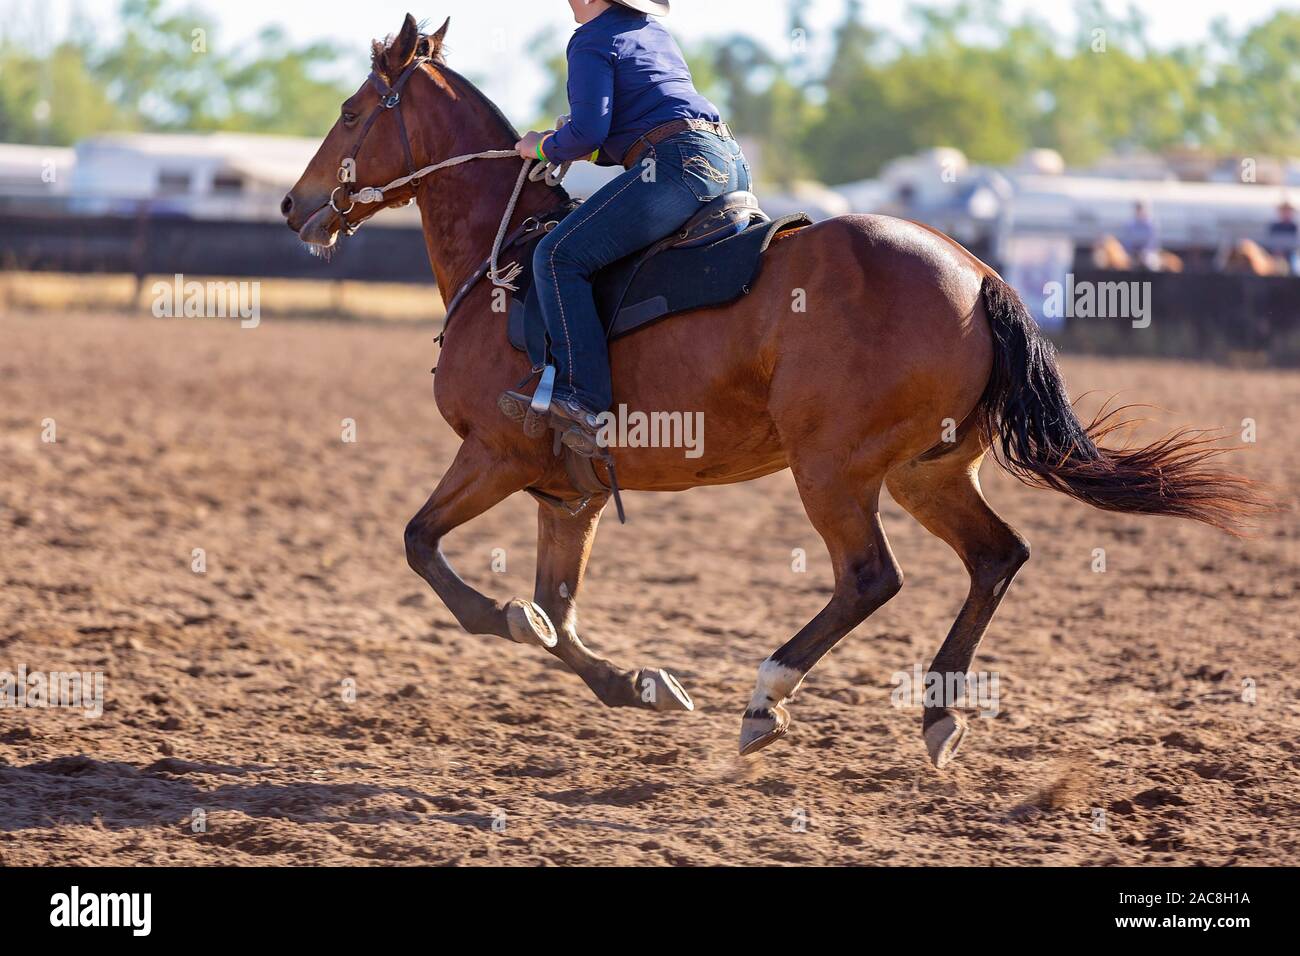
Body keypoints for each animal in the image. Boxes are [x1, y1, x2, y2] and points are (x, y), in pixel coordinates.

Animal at [282, 15, 1266, 768]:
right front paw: (637, 685)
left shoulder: (495, 454)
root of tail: (980, 271)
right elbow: (560, 610)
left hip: (831, 468)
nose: (294, 207)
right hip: (927, 471)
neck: (511, 263)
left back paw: (768, 696)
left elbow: (428, 550)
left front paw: (512, 622)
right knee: (996, 557)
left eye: (350, 111)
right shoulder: (568, 493)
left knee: (870, 577)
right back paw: (938, 710)